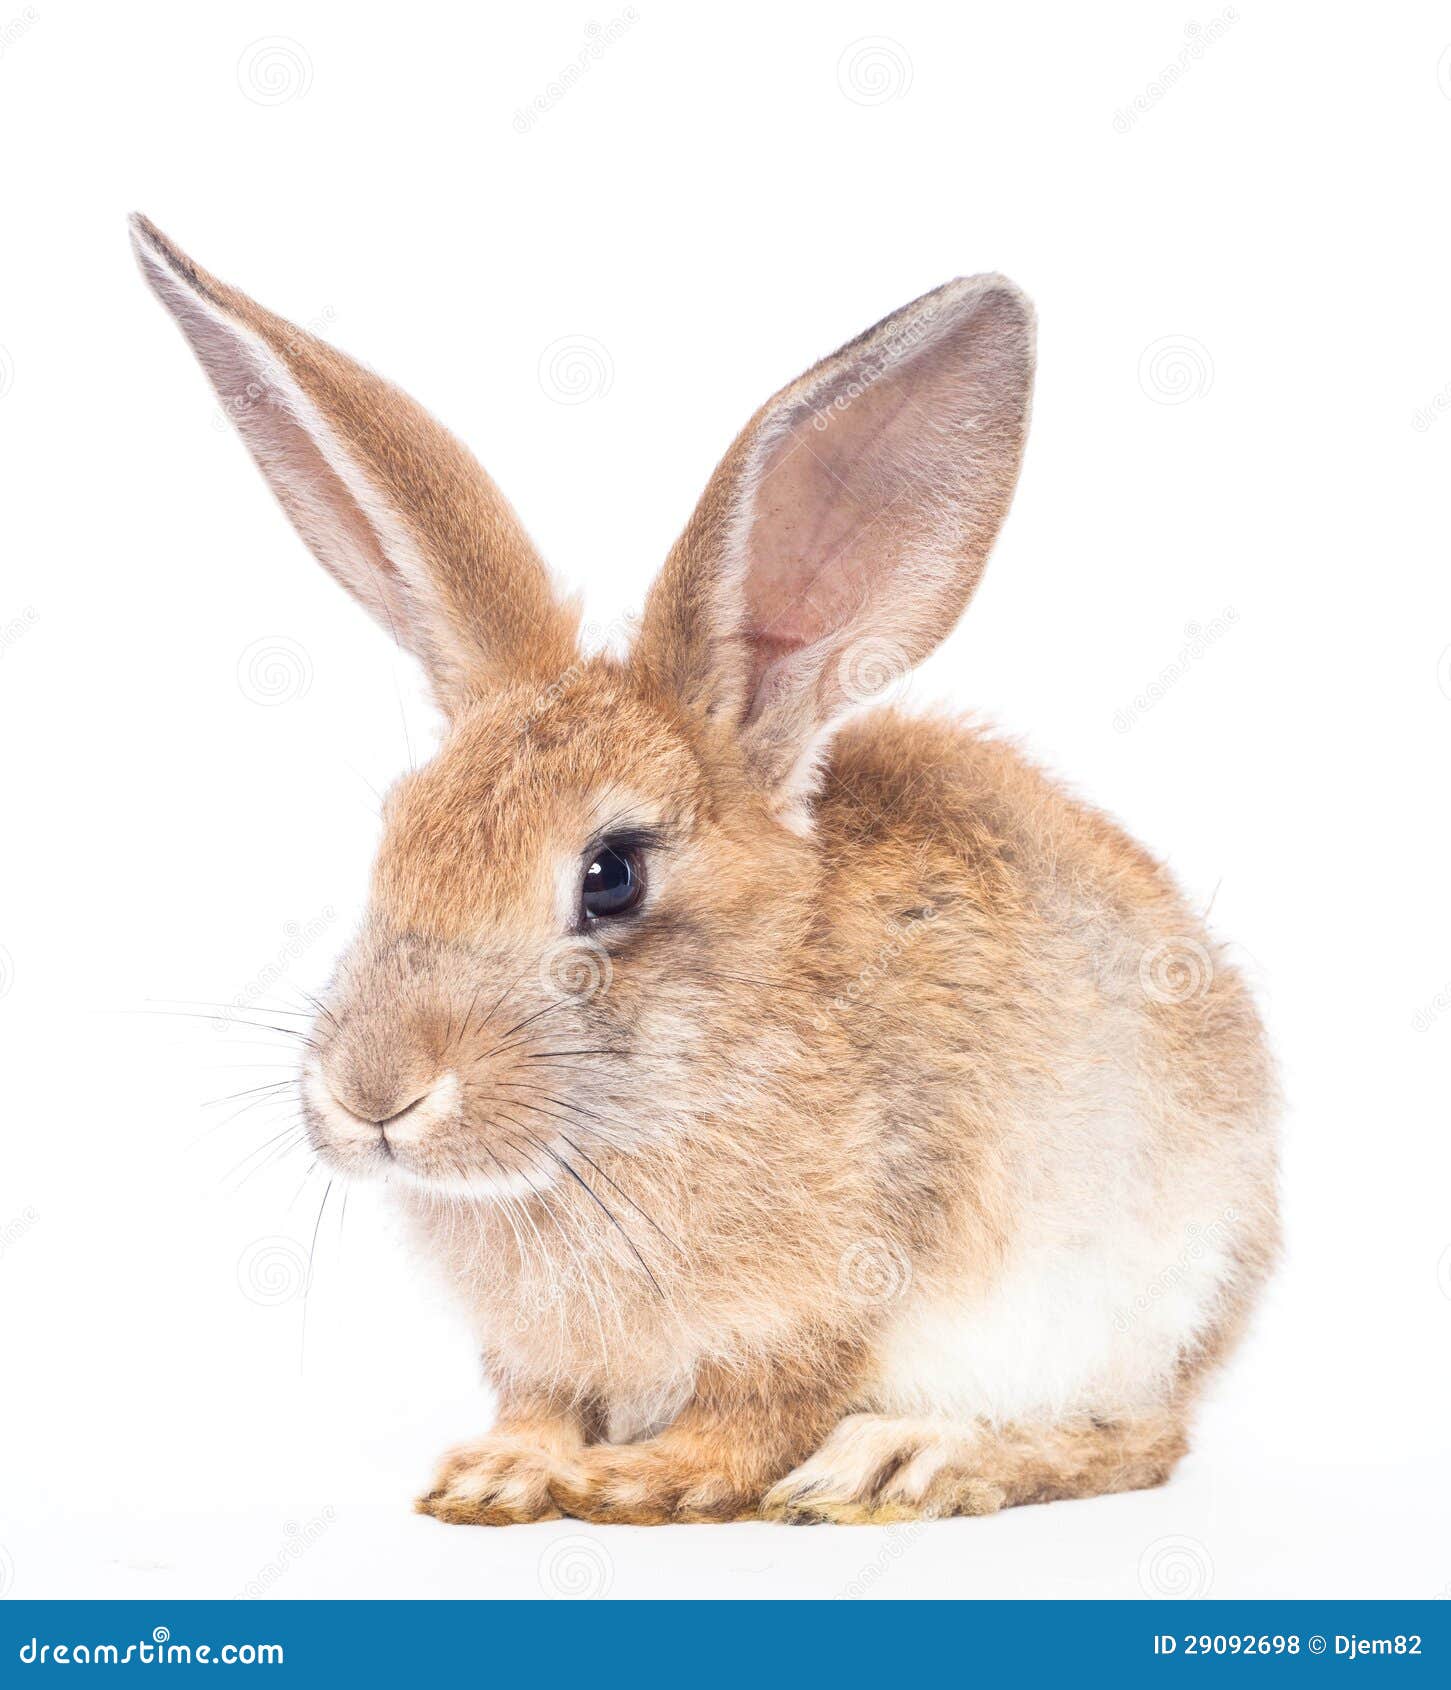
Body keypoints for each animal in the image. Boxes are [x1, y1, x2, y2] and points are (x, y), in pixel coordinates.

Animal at [132, 214, 1279, 1526]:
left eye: (611, 874)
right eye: (395, 830)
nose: (373, 1095)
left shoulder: (826, 1303)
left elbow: (752, 1419)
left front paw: (635, 1481)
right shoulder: (543, 1353)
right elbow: (539, 1399)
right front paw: (496, 1472)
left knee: (1134, 1439)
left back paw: (913, 1458)